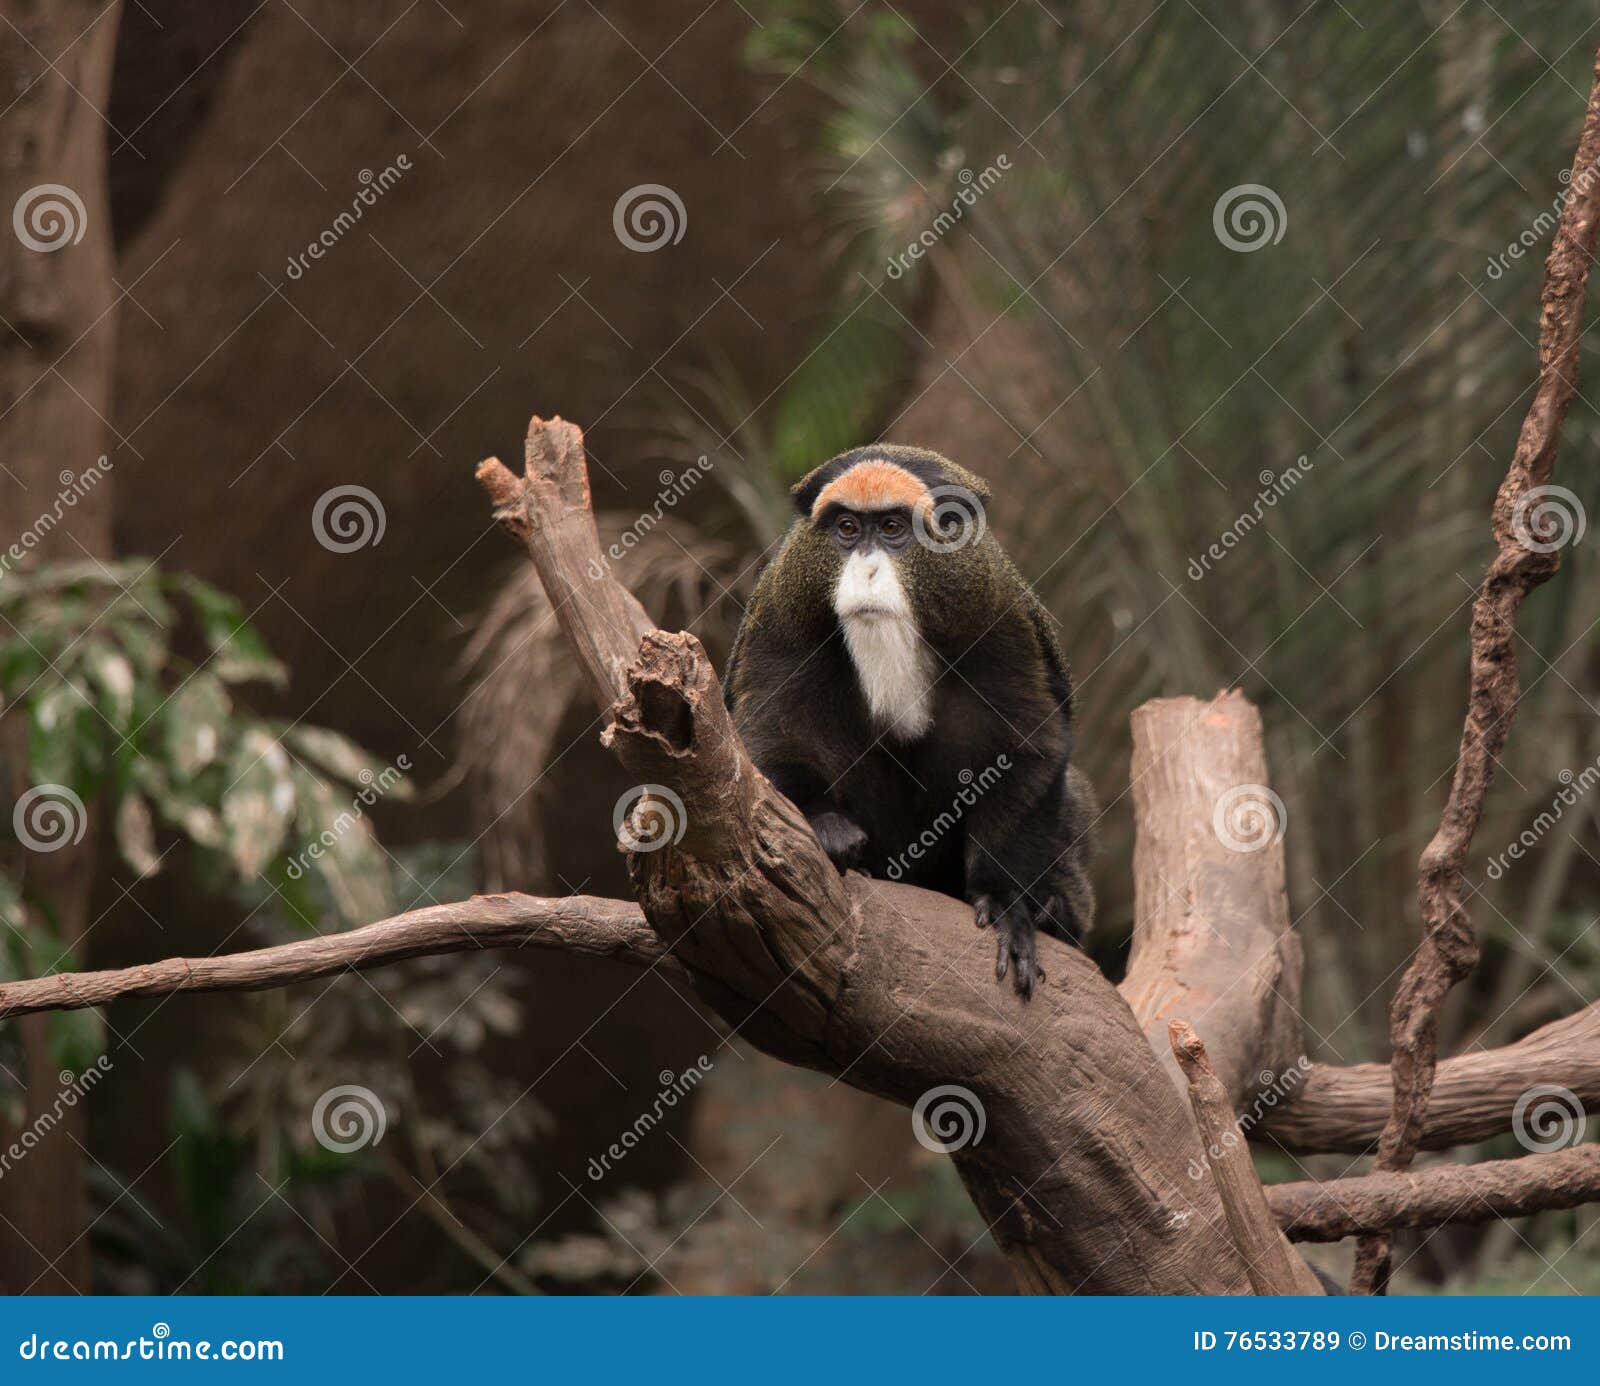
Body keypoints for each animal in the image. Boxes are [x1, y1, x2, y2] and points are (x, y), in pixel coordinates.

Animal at [722, 444, 1095, 998]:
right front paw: (825, 825)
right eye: (848, 529)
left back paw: (1055, 908)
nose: (867, 571)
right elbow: (771, 730)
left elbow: (1031, 746)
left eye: (893, 528)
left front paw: (1007, 901)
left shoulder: (1001, 618)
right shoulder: (783, 613)